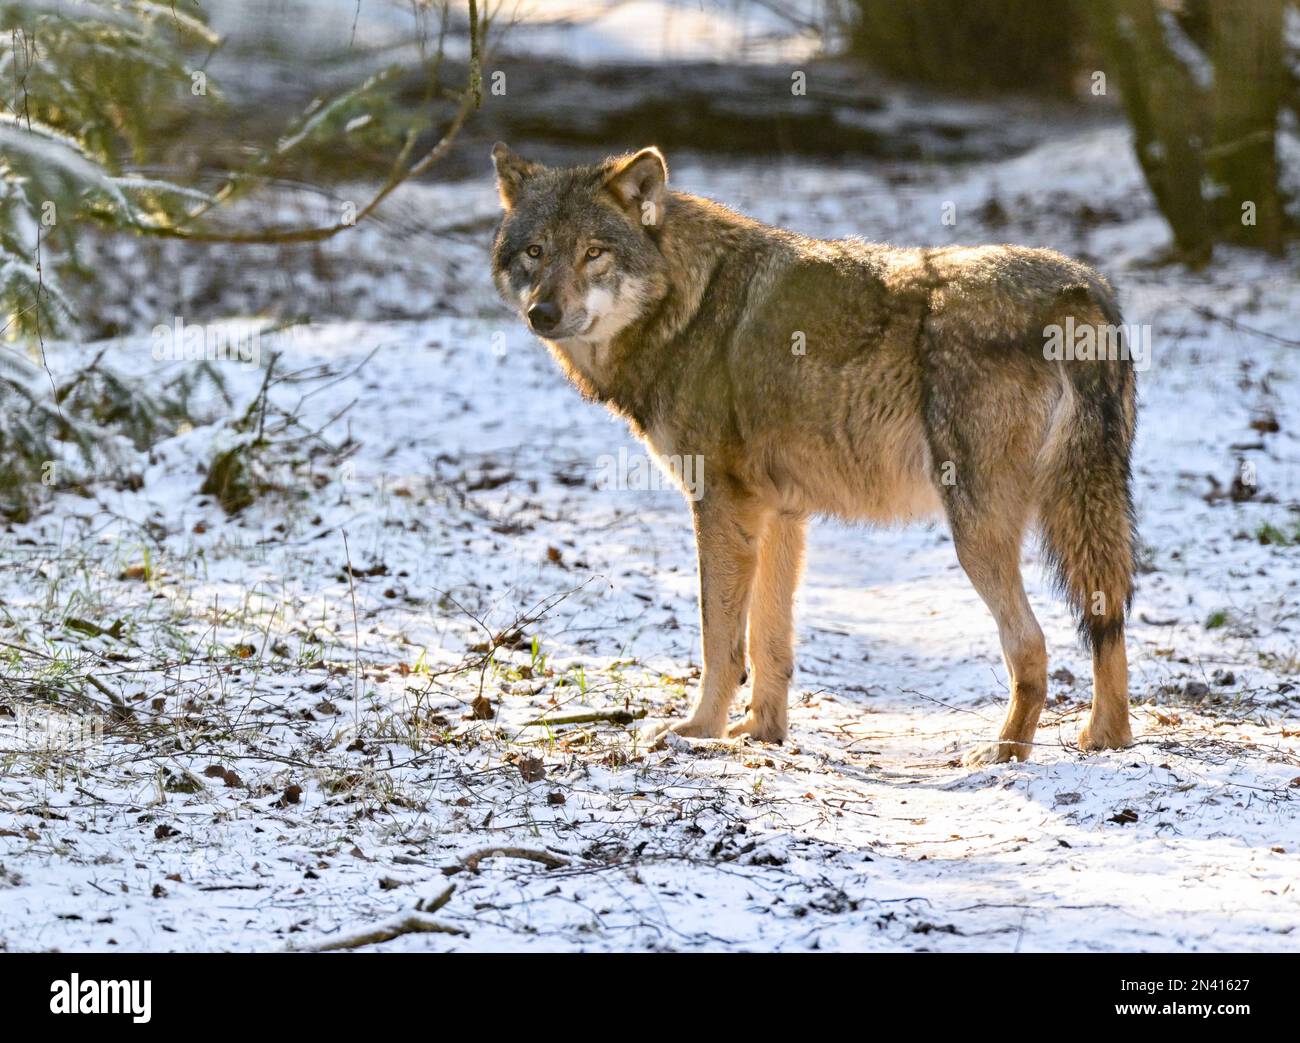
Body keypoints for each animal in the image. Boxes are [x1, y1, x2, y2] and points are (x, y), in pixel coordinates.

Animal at [490, 143, 1137, 764]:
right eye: (535, 252)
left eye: (594, 253)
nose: (543, 313)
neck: (687, 304)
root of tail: (1075, 289)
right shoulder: (780, 515)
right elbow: (769, 642)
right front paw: (761, 733)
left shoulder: (720, 507)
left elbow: (720, 641)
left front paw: (698, 733)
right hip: (1079, 510)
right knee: (1108, 621)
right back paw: (1106, 739)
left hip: (977, 531)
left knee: (1032, 645)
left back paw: (1004, 752)